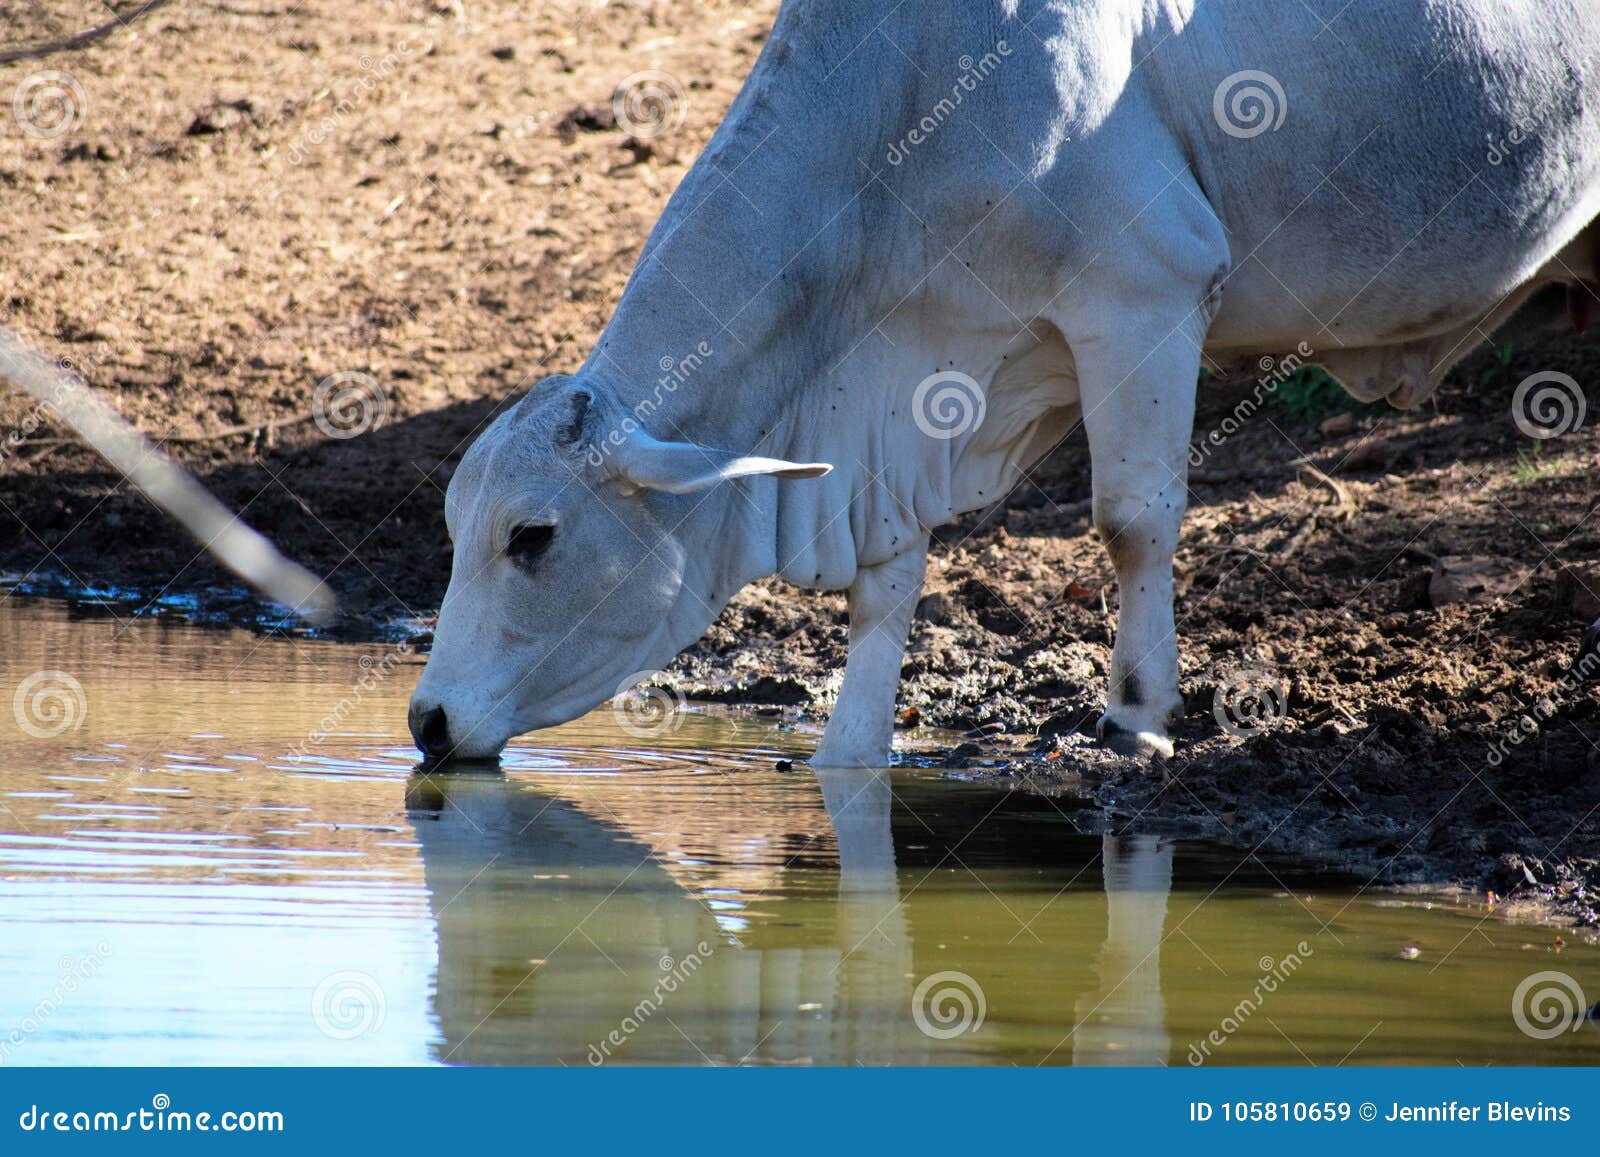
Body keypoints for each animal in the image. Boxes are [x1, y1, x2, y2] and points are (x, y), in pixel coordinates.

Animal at [409, 0, 1600, 765]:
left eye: (533, 536)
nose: (424, 722)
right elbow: (884, 584)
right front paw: (849, 749)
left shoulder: (1146, 291)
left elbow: (1130, 521)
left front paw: (1137, 715)